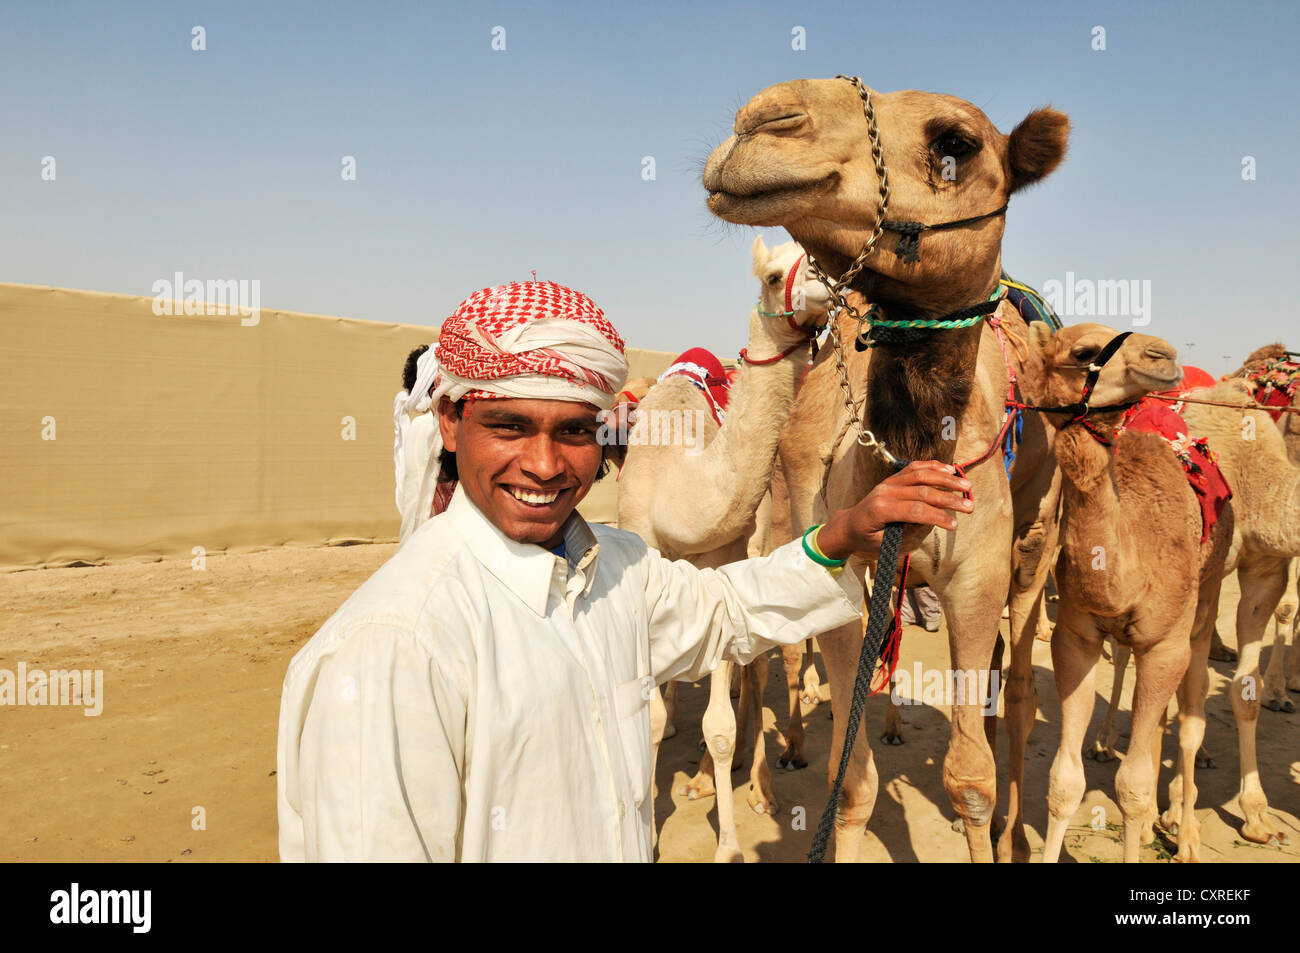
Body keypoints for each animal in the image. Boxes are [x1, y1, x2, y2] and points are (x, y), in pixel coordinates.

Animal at [616, 235, 829, 861]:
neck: (679, 483)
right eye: (773, 274)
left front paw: (729, 843)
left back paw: (759, 786)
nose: (829, 279)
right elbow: (653, 713)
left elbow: (720, 725)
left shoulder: (726, 565)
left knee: (754, 673)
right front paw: (650, 833)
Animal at [705, 77, 1069, 861]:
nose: (762, 120)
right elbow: (853, 783)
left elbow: (970, 776)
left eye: (956, 144)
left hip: (1037, 543)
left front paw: (982, 821)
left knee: (1018, 685)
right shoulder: (845, 564)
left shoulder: (976, 580)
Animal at [1024, 324, 1231, 863]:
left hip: (1206, 598)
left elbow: (1133, 788)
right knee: (1132, 680)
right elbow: (1064, 781)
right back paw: (1110, 744)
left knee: (1192, 716)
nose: (1164, 355)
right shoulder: (1076, 637)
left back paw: (1185, 831)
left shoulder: (1165, 645)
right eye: (1083, 352)